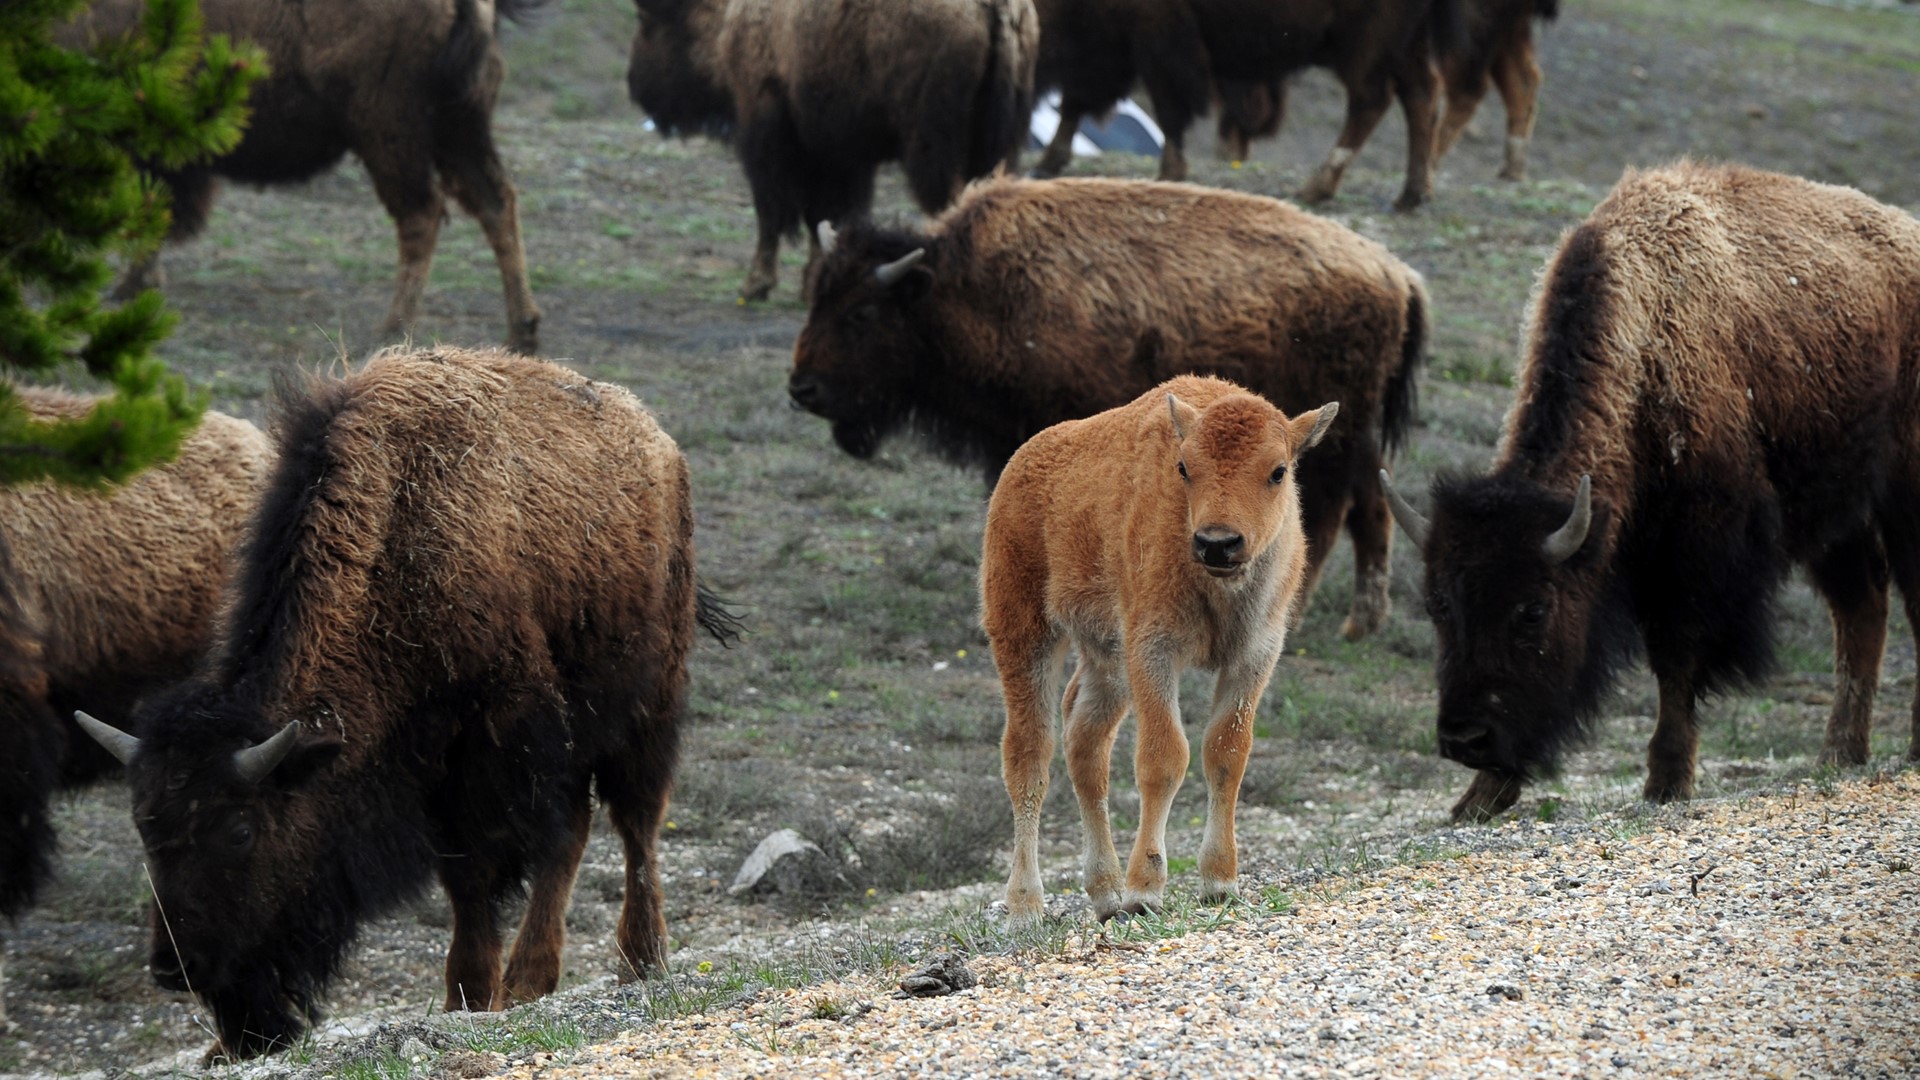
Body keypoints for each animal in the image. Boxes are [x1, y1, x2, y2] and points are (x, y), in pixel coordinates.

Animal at [65, 0, 543, 352]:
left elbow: (150, 209)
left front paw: (129, 286)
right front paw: (136, 283)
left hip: (390, 135)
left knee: (422, 215)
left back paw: (392, 329)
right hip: (458, 132)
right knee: (495, 203)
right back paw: (522, 331)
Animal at [76, 347, 735, 1060]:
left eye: (241, 829)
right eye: (143, 825)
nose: (178, 969)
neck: (394, 537)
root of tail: (660, 444)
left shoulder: (499, 743)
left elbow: (498, 858)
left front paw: (486, 991)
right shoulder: (434, 774)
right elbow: (464, 877)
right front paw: (467, 994)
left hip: (646, 703)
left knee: (631, 823)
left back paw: (624, 963)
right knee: (586, 827)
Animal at [626, 0, 1039, 300]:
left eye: (647, 20)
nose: (635, 87)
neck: (731, 15)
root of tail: (996, 8)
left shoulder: (772, 139)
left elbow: (773, 213)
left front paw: (757, 284)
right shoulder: (842, 156)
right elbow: (827, 217)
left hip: (932, 147)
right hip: (999, 143)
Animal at [791, 176, 1427, 641]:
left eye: (861, 313)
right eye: (814, 295)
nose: (802, 389)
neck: (964, 288)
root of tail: (1398, 274)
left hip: (1327, 439)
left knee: (1330, 511)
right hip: (1350, 430)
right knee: (1372, 504)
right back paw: (1359, 623)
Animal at [1381, 163, 1920, 820]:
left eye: (1533, 610)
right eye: (1437, 604)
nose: (1465, 738)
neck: (1644, 342)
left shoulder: (1695, 554)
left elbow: (1675, 658)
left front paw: (1666, 781)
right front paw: (1479, 798)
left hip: (1904, 489)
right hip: (1835, 514)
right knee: (1862, 608)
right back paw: (1840, 754)